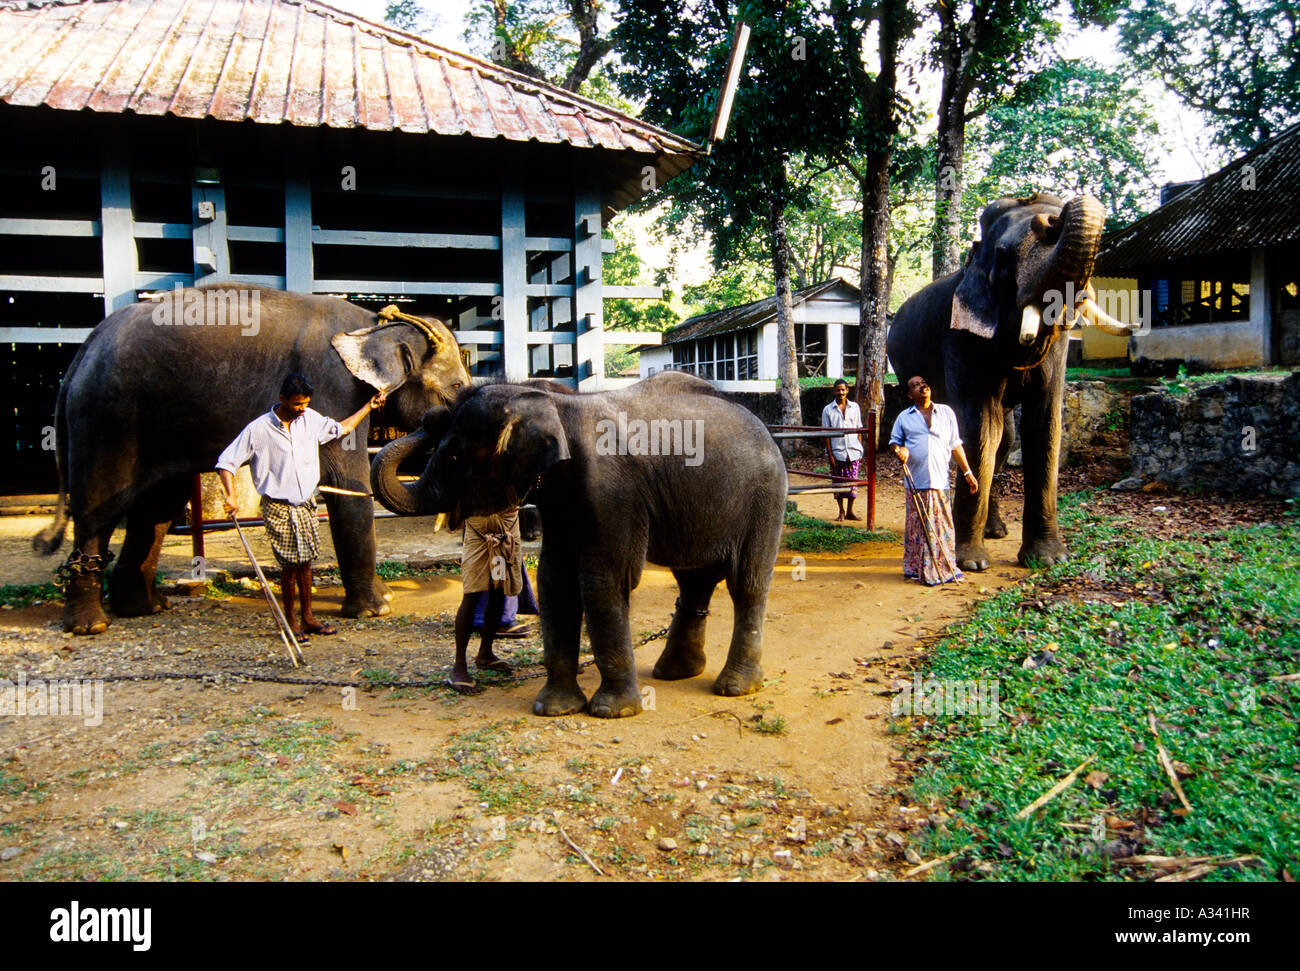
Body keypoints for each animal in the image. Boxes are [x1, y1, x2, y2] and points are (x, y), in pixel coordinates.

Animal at [34, 284, 470, 635]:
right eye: (456, 387)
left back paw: (146, 608)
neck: (374, 324)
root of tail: (85, 347)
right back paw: (91, 626)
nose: (438, 419)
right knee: (99, 506)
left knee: (156, 507)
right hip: (108, 416)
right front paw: (378, 609)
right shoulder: (332, 385)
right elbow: (347, 481)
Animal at [370, 371, 789, 718]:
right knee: (694, 582)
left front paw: (611, 711)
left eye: (456, 455)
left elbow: (603, 581)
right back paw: (673, 673)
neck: (553, 401)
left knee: (747, 585)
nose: (430, 414)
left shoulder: (612, 492)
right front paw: (554, 709)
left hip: (765, 496)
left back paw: (734, 687)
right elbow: (555, 579)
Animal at [886, 192, 1136, 570]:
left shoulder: (1058, 345)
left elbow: (1044, 424)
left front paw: (1049, 559)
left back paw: (995, 531)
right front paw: (971, 563)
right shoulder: (960, 337)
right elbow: (980, 428)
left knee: (1006, 439)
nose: (1051, 218)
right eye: (1003, 256)